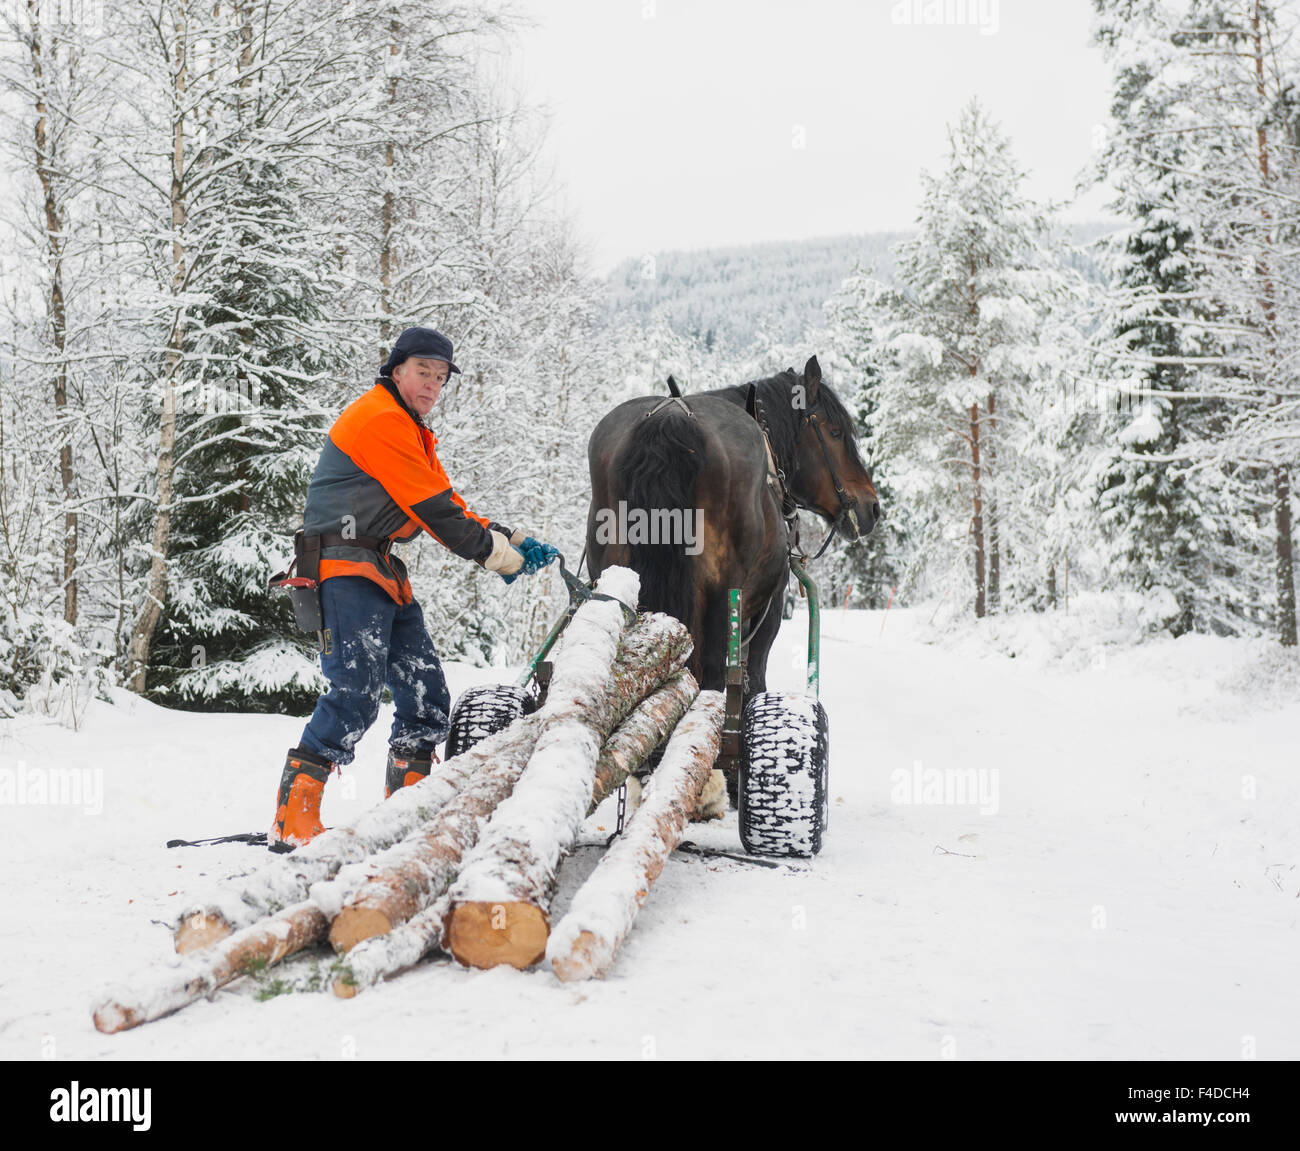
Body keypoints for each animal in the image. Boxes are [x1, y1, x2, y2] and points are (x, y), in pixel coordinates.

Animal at [585, 355, 881, 702]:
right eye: (835, 433)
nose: (872, 507)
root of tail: (672, 419)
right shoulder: (768, 609)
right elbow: (753, 679)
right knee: (711, 677)